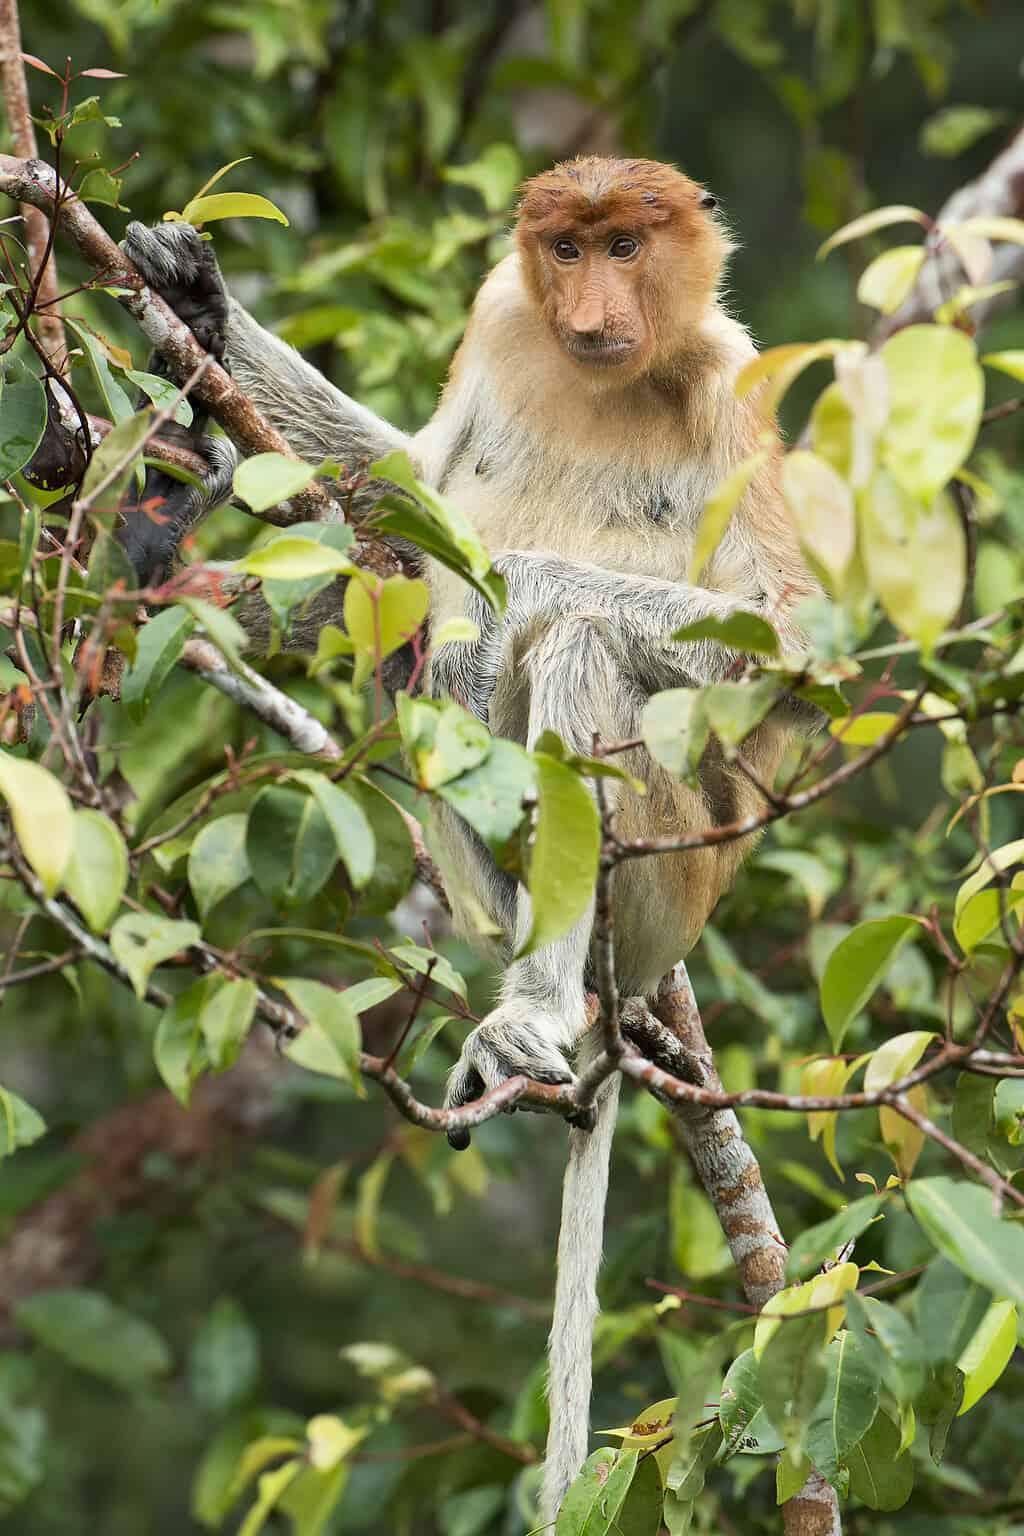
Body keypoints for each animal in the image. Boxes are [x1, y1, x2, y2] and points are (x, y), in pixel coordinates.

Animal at [121, 156, 817, 1519]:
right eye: (564, 250)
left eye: (625, 245)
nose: (592, 306)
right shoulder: (503, 320)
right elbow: (408, 476)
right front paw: (197, 298)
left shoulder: (733, 385)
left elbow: (789, 645)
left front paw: (499, 609)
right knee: (407, 661)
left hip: (671, 863)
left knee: (586, 650)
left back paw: (536, 1009)